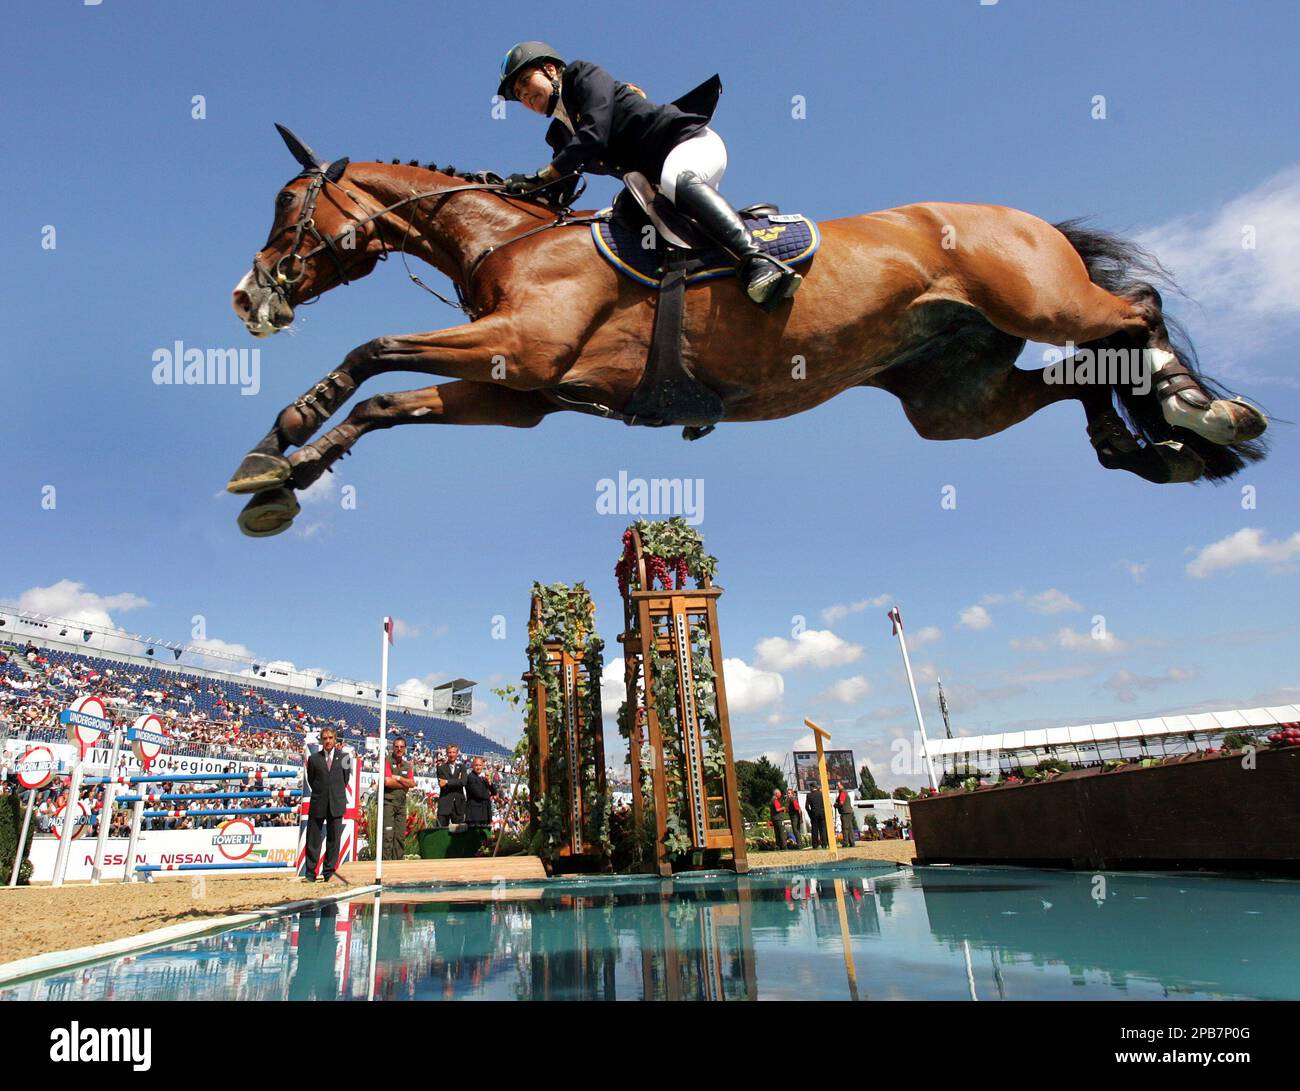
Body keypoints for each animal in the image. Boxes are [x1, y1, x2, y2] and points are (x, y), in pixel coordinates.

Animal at [228, 126, 1267, 537]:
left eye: (286, 206)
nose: (247, 296)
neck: (508, 239)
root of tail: (1030, 218)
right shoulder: (519, 389)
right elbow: (386, 405)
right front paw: (281, 477)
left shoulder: (523, 350)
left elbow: (368, 354)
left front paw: (279, 440)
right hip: (953, 400)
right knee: (1084, 373)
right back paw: (1147, 449)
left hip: (1039, 300)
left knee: (1136, 316)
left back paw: (1204, 414)